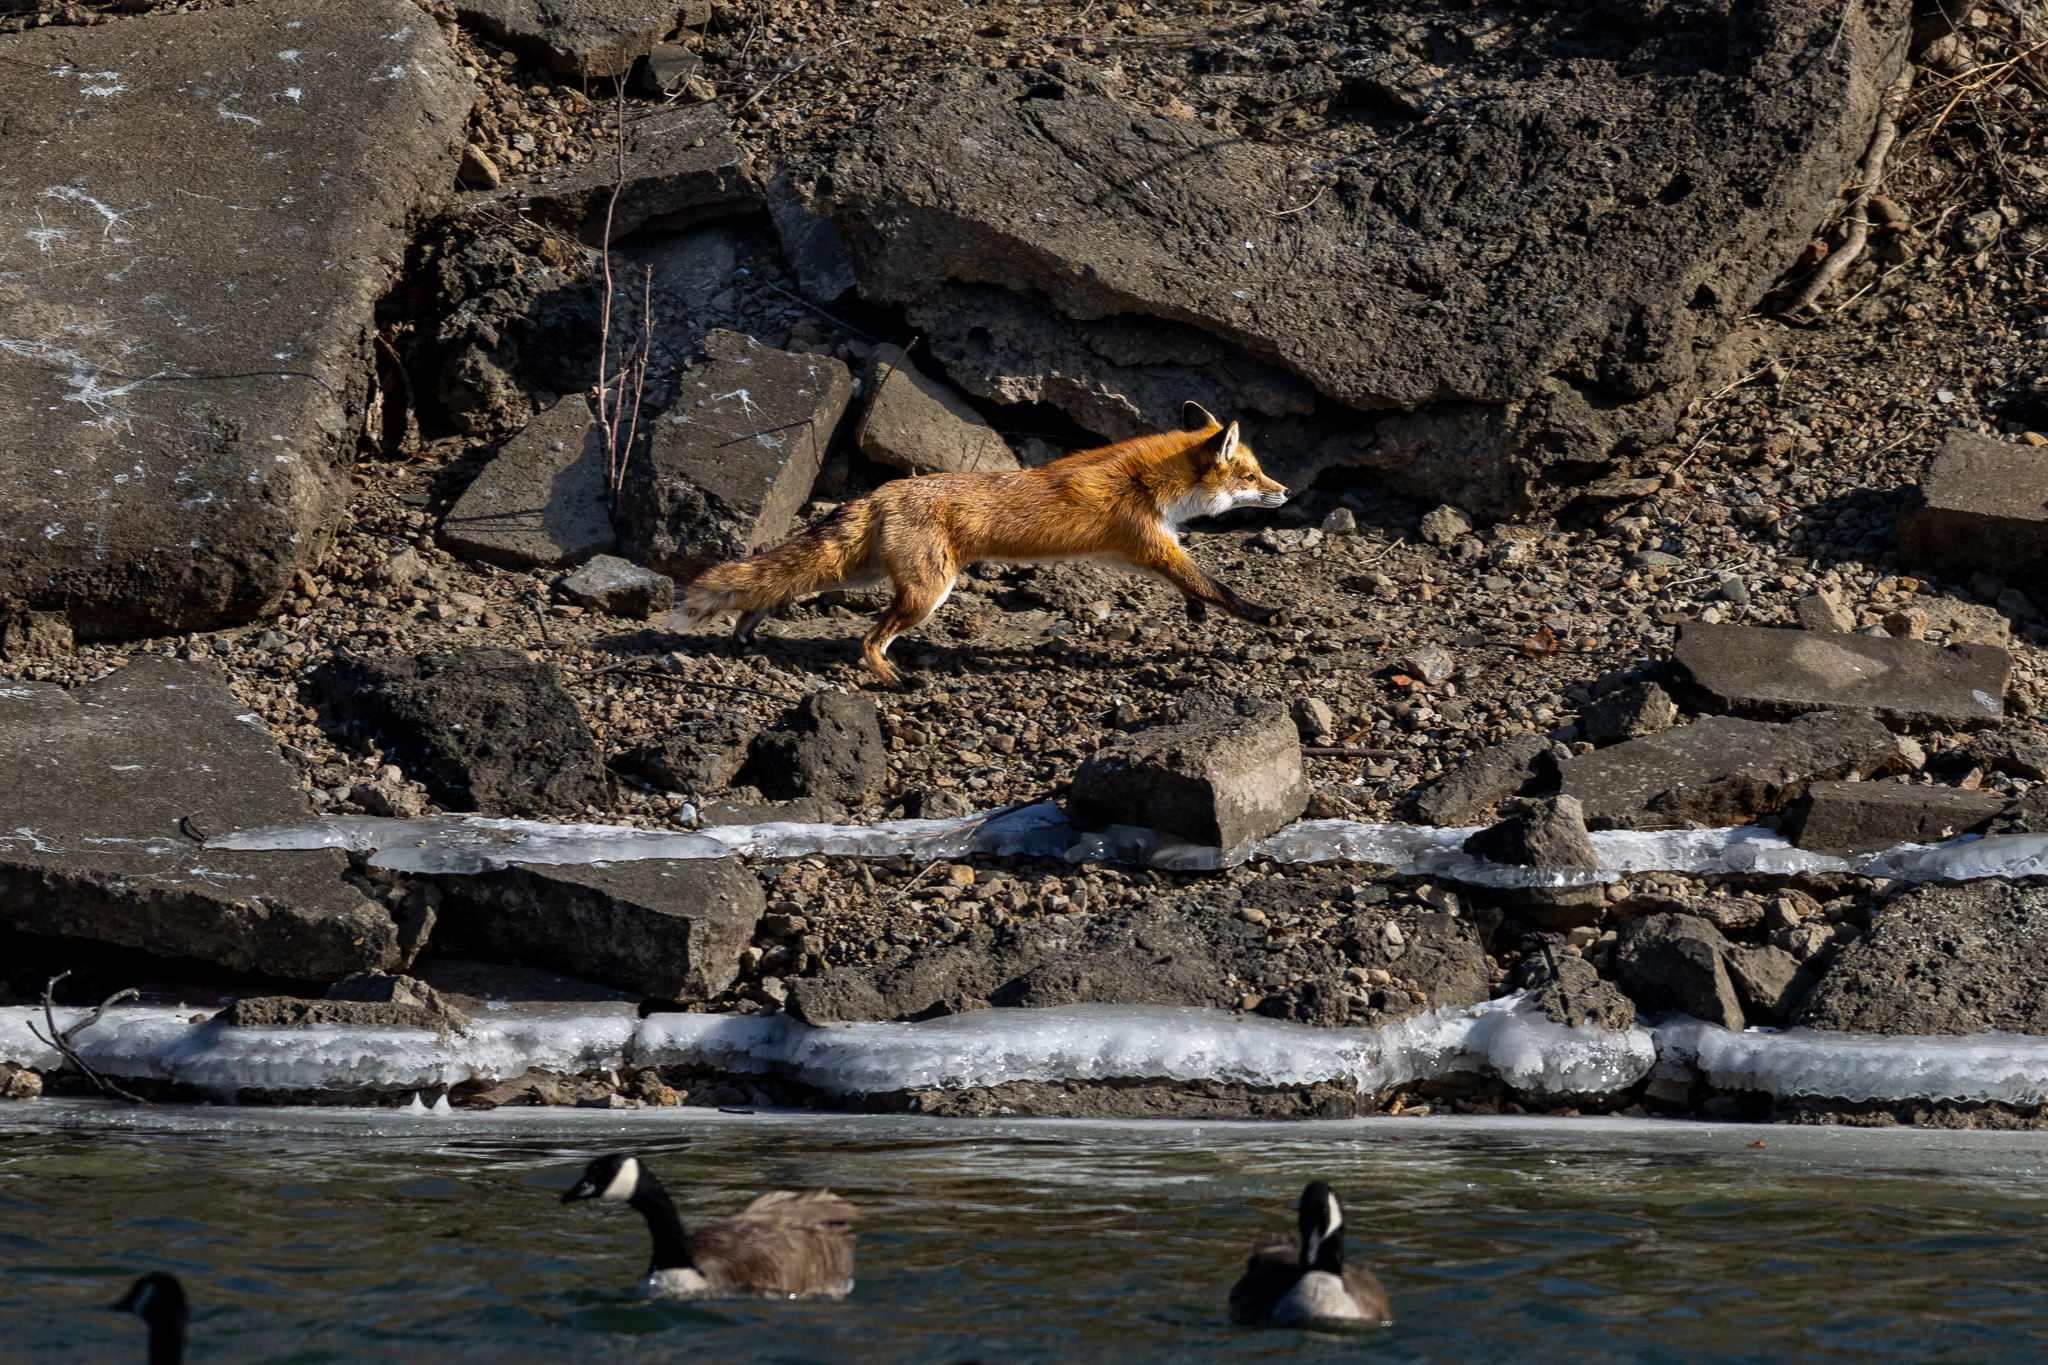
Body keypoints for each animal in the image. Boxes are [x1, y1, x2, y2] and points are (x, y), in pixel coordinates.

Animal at [679, 401, 1291, 688]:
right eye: (1252, 475)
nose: (1285, 491)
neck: (1148, 482)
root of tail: (882, 491)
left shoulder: (1132, 550)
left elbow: (1194, 585)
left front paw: (1194, 612)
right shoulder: (1148, 543)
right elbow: (1220, 589)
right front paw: (1264, 615)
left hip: (864, 573)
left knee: (776, 583)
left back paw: (746, 630)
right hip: (927, 594)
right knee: (867, 640)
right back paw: (898, 682)